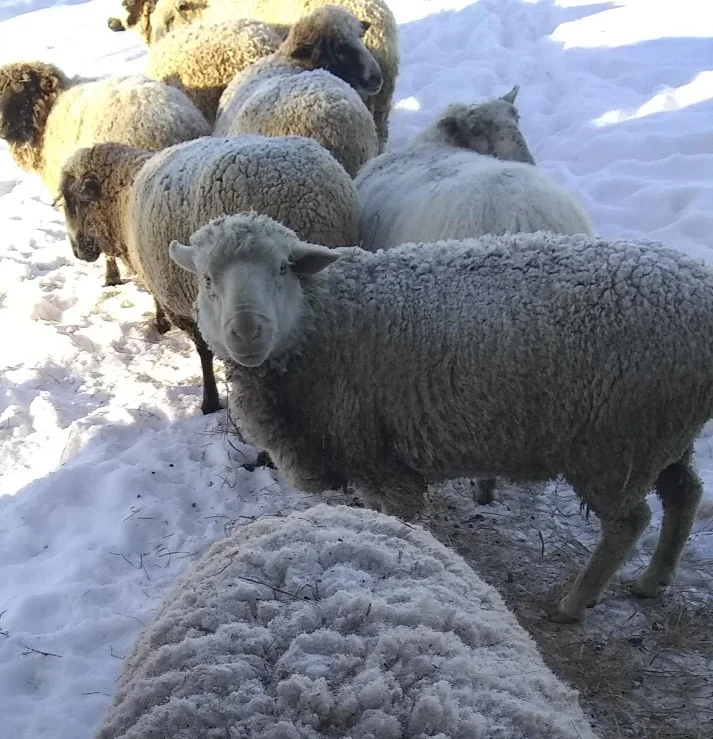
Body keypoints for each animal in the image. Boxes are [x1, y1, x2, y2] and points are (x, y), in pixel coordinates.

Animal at [57, 135, 359, 416]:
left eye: (75, 202)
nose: (76, 251)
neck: (123, 200)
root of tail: (311, 194)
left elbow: (203, 352)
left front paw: (209, 402)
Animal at [170, 212, 710, 623]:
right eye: (207, 279)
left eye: (284, 268)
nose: (246, 332)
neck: (320, 323)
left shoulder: (380, 462)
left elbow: (398, 520)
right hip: (665, 434)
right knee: (685, 495)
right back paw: (654, 579)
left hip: (617, 442)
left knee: (629, 522)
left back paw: (575, 603)